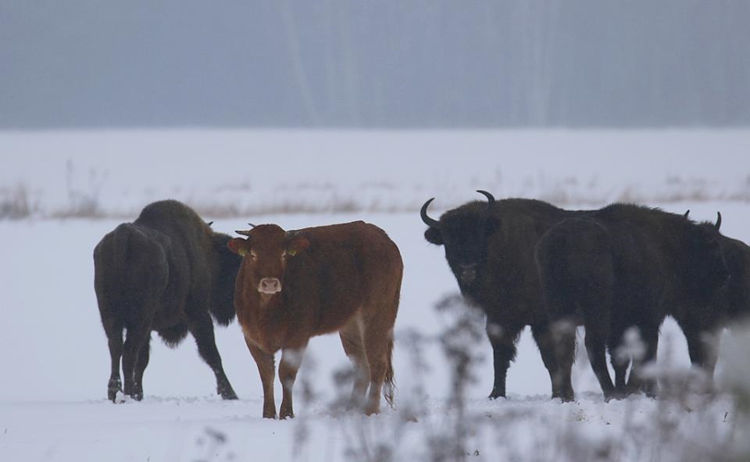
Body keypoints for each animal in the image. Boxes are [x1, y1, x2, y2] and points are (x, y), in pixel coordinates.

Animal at [94, 200, 241, 402]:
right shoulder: (197, 314)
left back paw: (116, 393)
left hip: (111, 315)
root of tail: (123, 238)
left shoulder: (149, 328)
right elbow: (211, 353)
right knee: (128, 352)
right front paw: (230, 394)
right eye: (234, 269)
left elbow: (143, 360)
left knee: (116, 348)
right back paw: (127, 394)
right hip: (139, 318)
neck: (207, 252)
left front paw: (140, 394)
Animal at [227, 221, 402, 419]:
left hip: (378, 314)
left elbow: (286, 373)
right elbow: (266, 374)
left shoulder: (297, 336)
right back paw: (350, 409)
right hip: (351, 325)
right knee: (361, 366)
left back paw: (369, 410)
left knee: (377, 363)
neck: (266, 310)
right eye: (253, 254)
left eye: (283, 254)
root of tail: (382, 236)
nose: (270, 283)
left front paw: (286, 413)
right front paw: (268, 415)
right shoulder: (251, 337)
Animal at [421, 191, 581, 401]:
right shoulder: (498, 319)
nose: (468, 269)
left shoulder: (544, 322)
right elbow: (500, 357)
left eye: (479, 234)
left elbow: (553, 358)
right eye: (449, 240)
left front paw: (561, 396)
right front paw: (496, 394)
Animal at [535, 207, 729, 399]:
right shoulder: (649, 318)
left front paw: (626, 388)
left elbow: (621, 358)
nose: (724, 276)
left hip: (560, 309)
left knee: (565, 348)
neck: (672, 246)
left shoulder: (621, 324)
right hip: (596, 312)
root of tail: (562, 239)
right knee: (593, 345)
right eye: (713, 250)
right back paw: (609, 392)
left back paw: (570, 396)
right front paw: (641, 390)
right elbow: (646, 353)